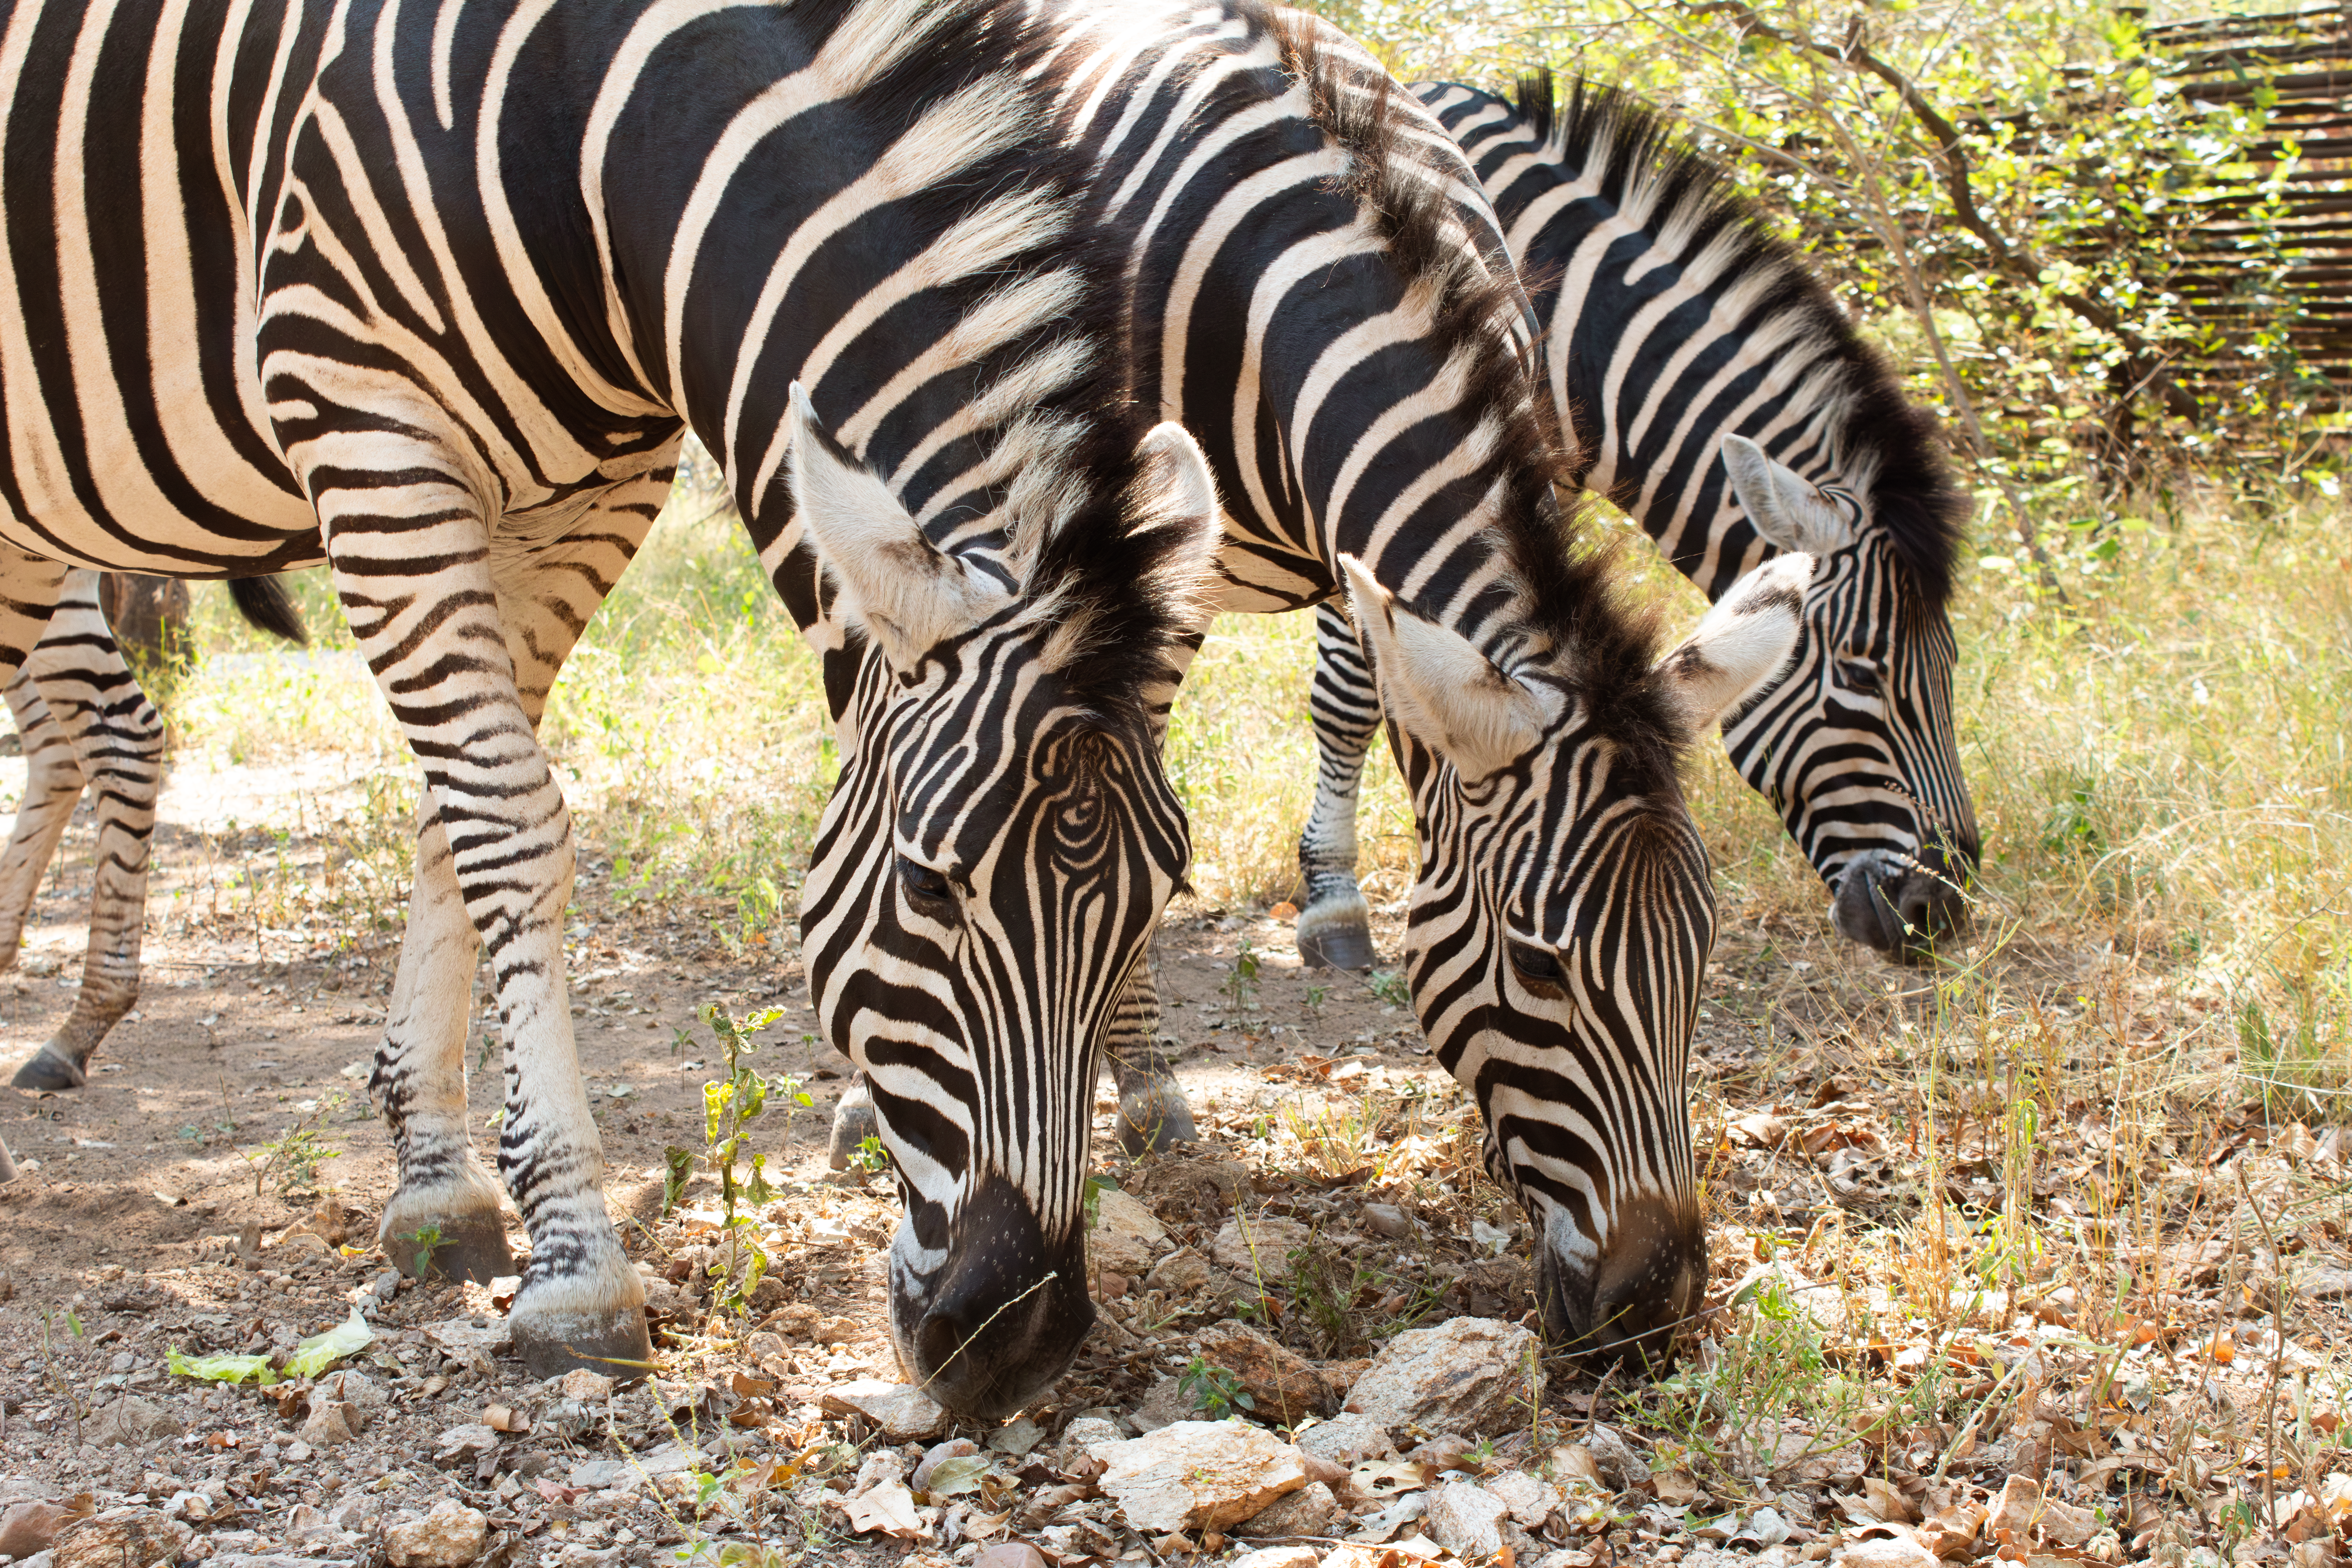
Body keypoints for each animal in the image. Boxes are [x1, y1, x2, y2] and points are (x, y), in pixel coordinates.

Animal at [0, 0, 1235, 1405]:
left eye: (1163, 894)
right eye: (930, 887)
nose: (1022, 1342)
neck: (578, 137)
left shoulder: (588, 488)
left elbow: (453, 811)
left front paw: (437, 1188)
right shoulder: (368, 424)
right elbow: (507, 821)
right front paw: (575, 1269)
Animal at [1288, 72, 1978, 974]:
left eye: (1951, 665)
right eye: (1863, 670)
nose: (1943, 911)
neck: (1575, 329)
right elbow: (1351, 697)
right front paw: (1335, 903)